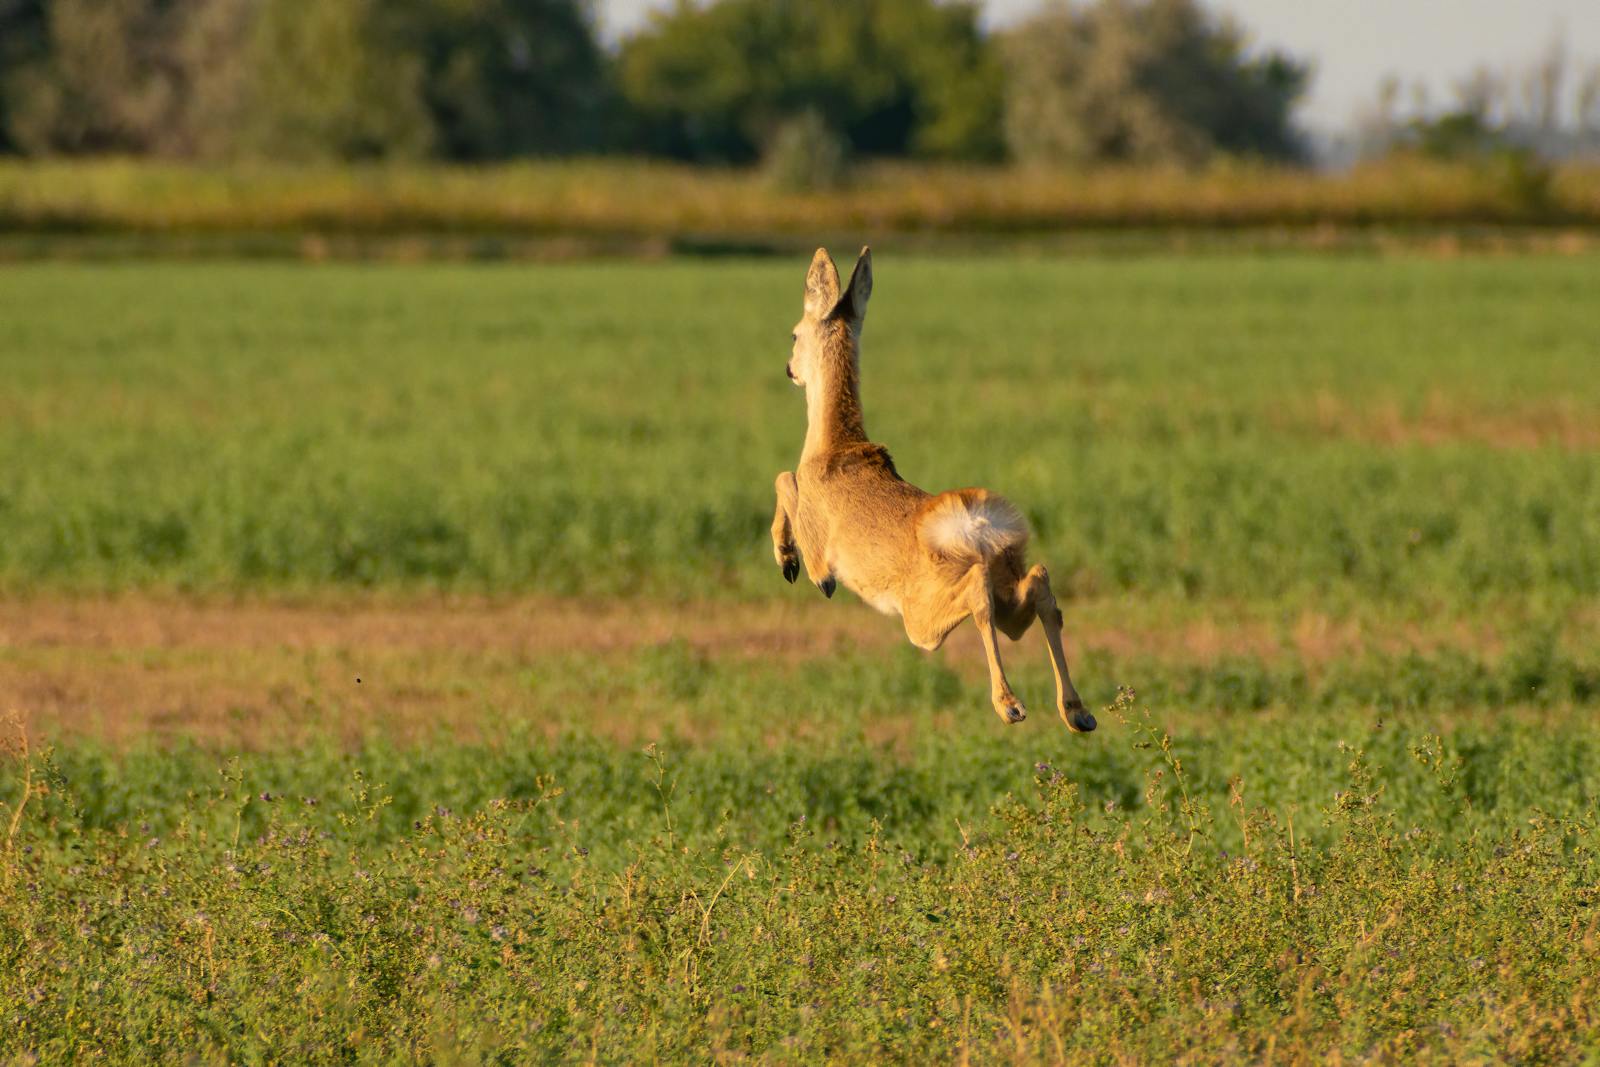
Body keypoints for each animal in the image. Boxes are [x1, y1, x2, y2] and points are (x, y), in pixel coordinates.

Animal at [771, 246, 1096, 732]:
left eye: (794, 333)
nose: (789, 369)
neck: (832, 443)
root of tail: (977, 527)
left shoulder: (819, 549)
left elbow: (784, 480)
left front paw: (787, 559)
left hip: (919, 619)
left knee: (976, 593)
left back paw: (1011, 705)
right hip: (1008, 602)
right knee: (1039, 588)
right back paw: (1077, 712)